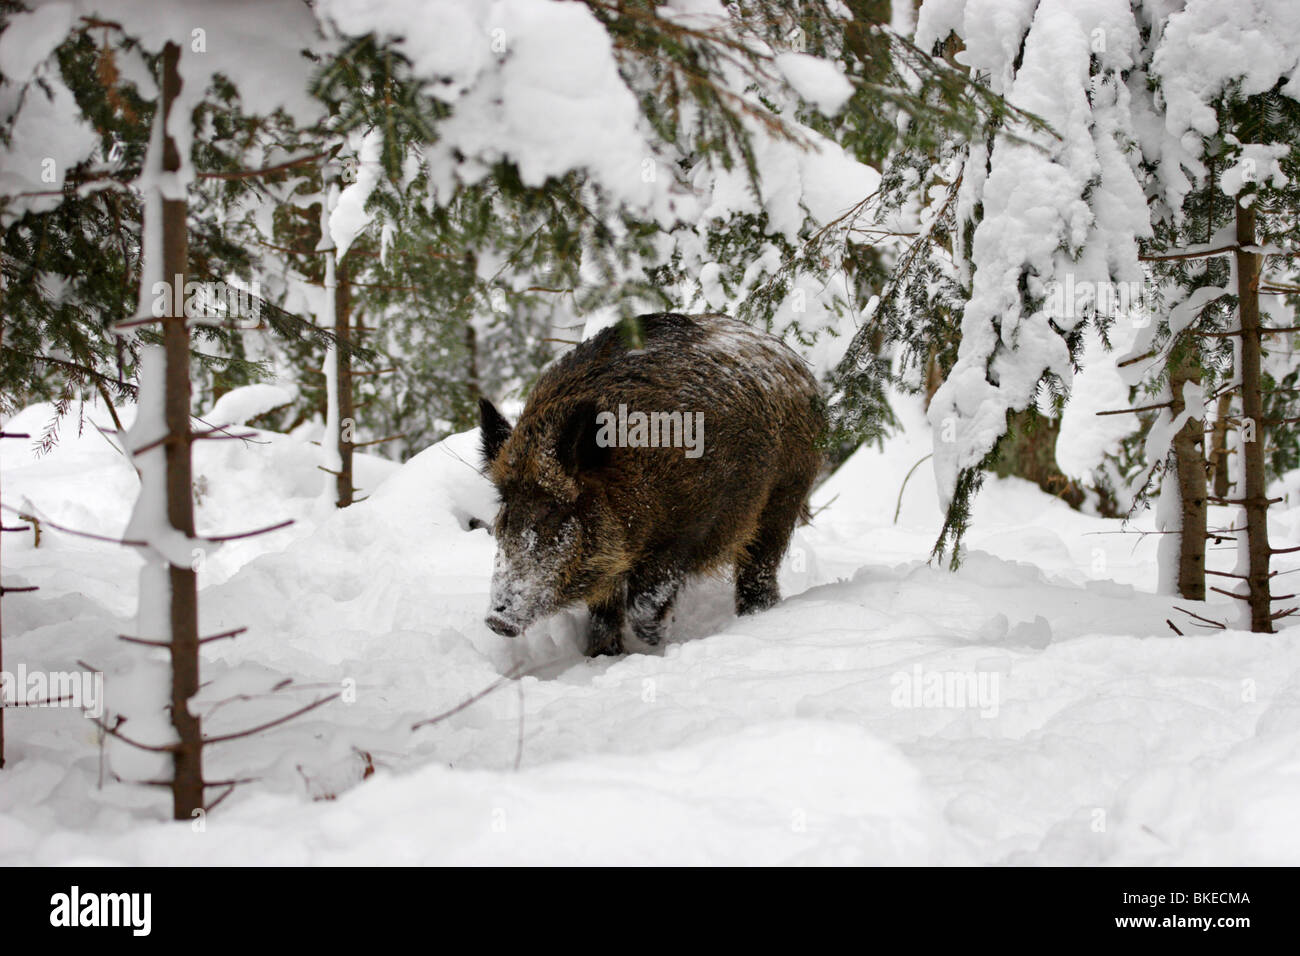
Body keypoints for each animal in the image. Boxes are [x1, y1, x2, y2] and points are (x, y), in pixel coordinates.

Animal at [478, 312, 823, 656]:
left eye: (553, 506)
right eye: (504, 500)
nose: (496, 620)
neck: (631, 480)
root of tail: (798, 365)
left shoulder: (688, 527)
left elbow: (644, 599)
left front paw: (660, 638)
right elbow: (603, 612)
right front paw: (602, 656)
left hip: (784, 494)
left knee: (759, 568)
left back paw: (755, 615)